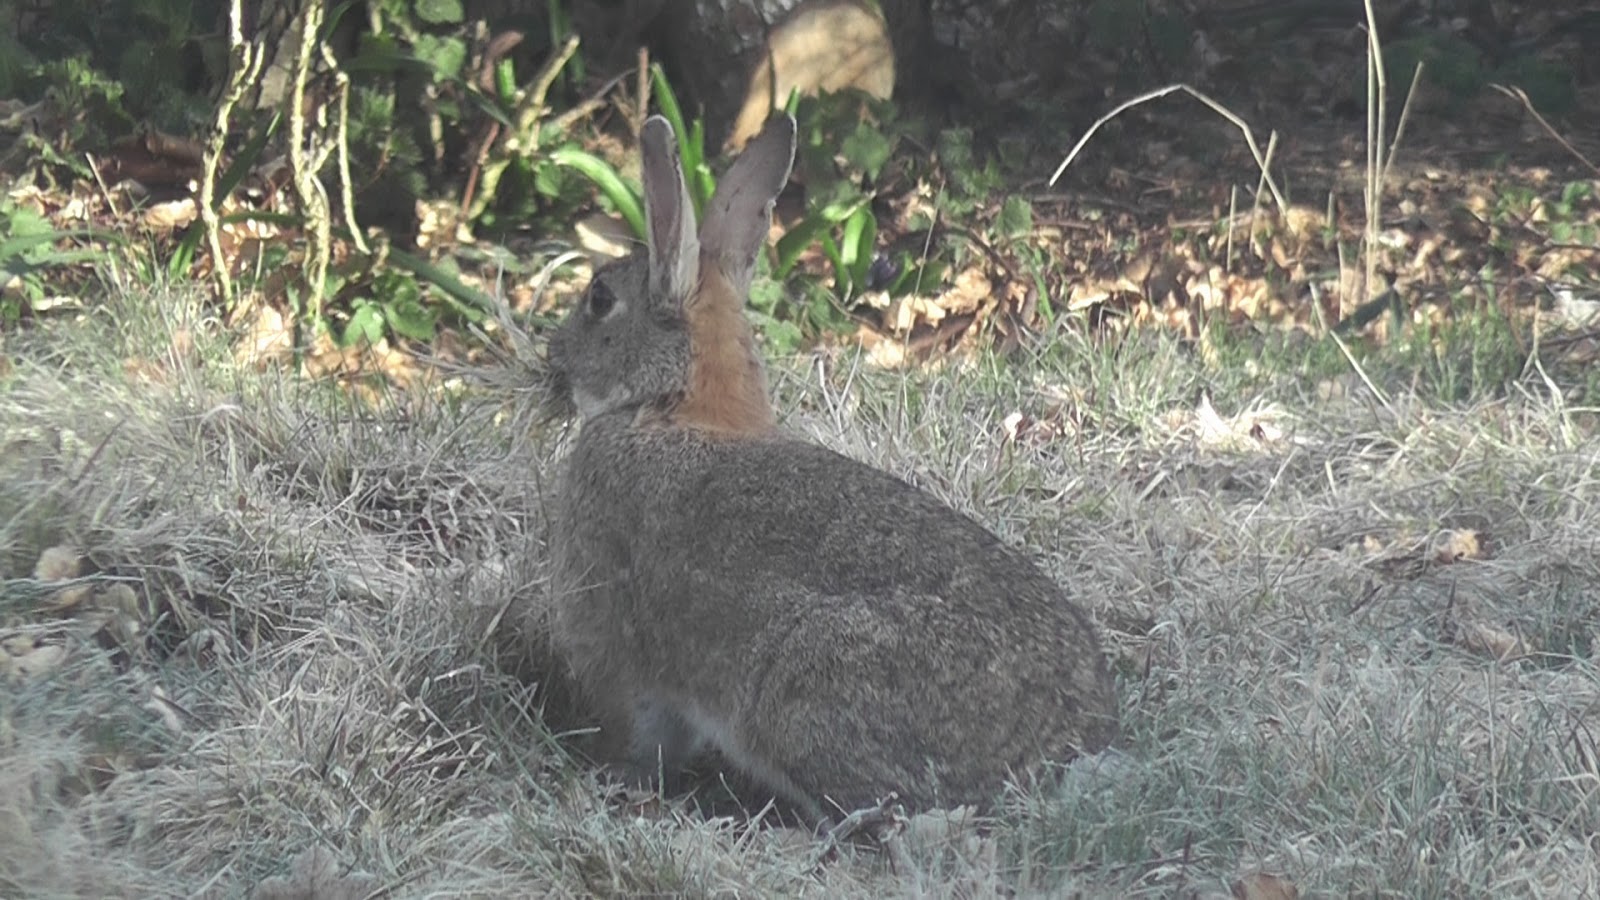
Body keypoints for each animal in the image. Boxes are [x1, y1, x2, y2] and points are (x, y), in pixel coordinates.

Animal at [544, 113, 1119, 827]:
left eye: (600, 299)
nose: (553, 357)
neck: (673, 410)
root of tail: (1057, 754)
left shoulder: (619, 650)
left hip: (804, 688)